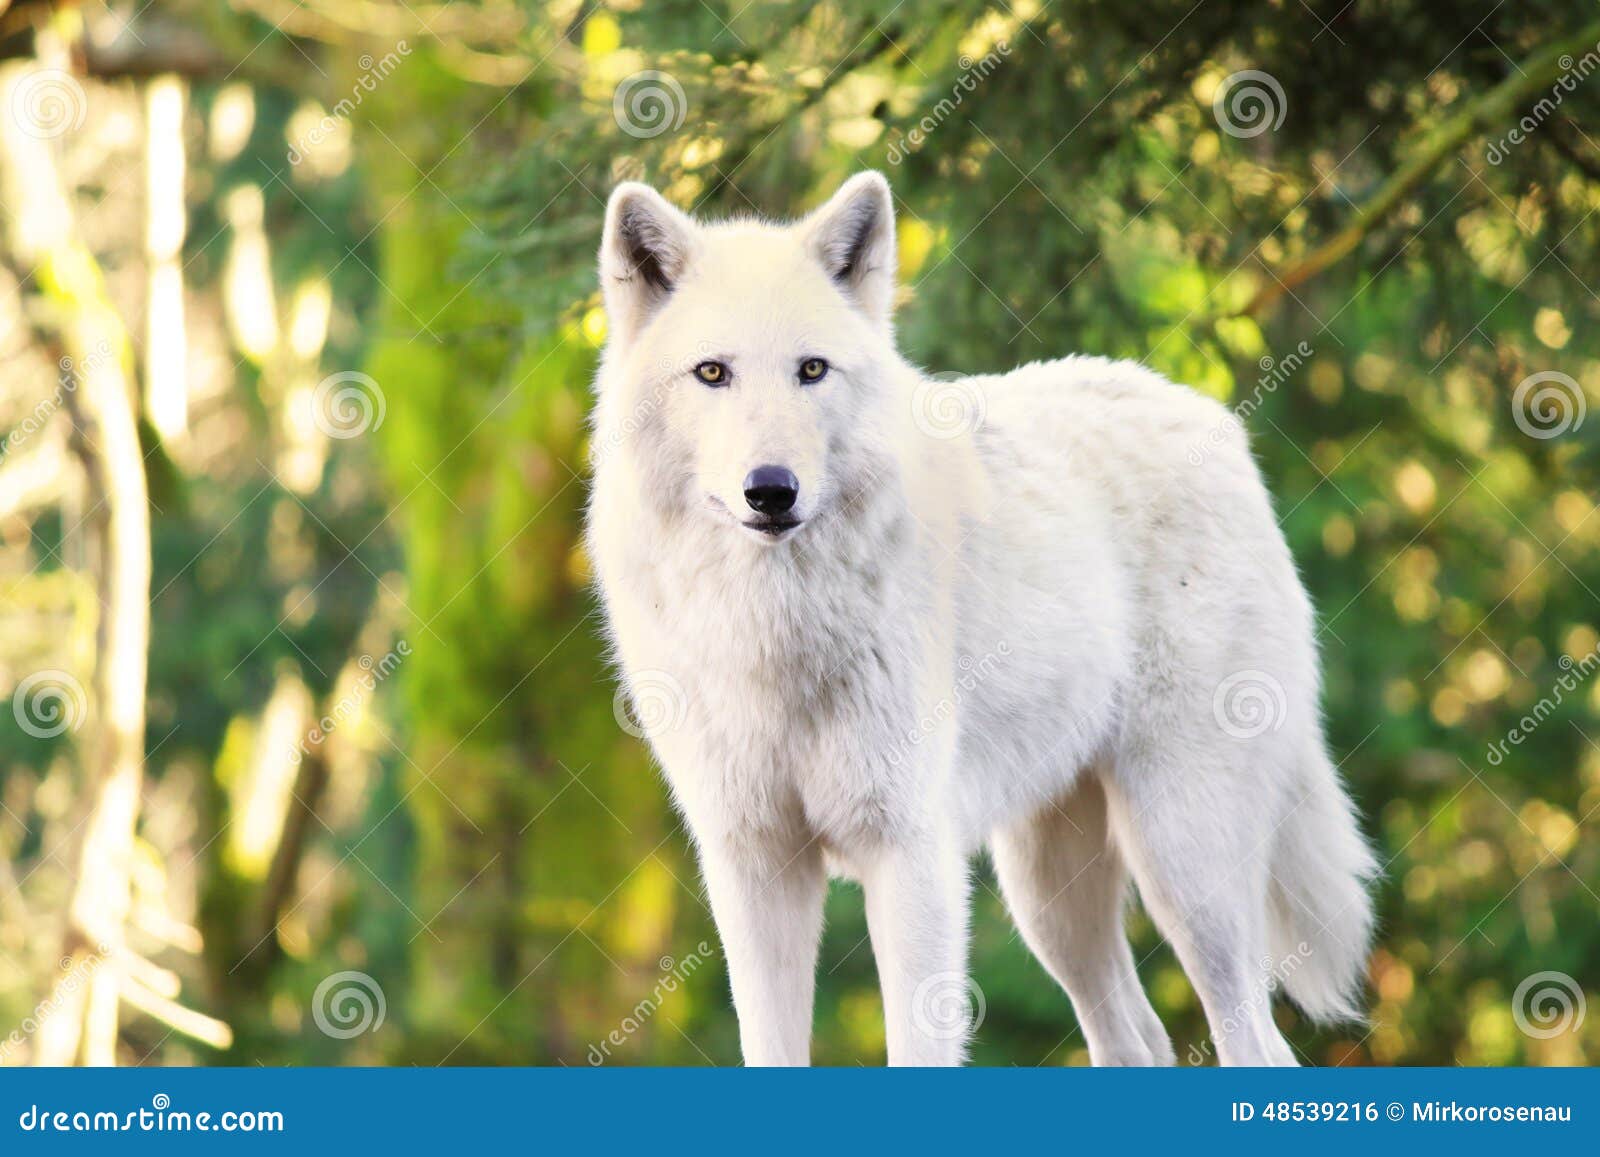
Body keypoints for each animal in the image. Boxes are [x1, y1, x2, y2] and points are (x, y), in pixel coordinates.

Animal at [588, 172, 1376, 1068]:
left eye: (811, 369)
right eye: (712, 372)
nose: (772, 489)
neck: (774, 632)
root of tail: (1210, 419)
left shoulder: (912, 856)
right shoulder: (754, 864)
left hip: (1183, 865)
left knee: (1255, 1042)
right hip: (1048, 897)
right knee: (1138, 1040)